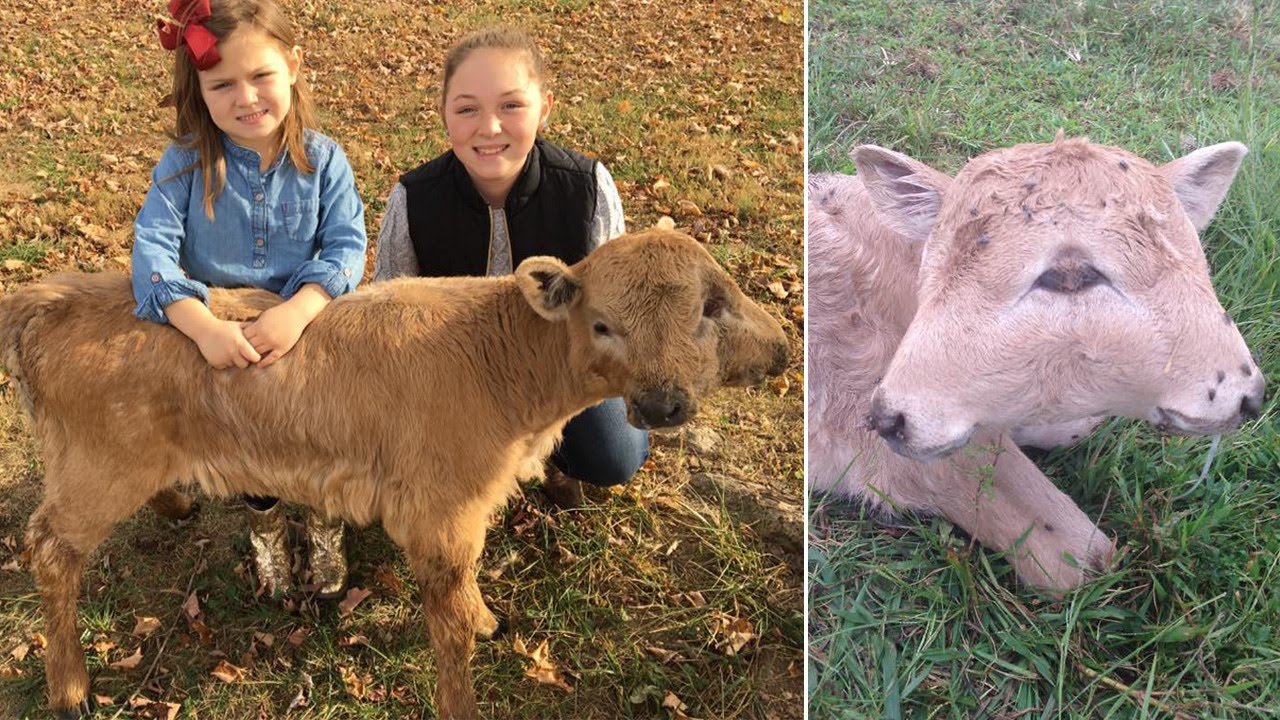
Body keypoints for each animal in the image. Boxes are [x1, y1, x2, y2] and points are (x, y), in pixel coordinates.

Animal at [0, 228, 789, 719]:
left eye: (714, 301)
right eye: (603, 325)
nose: (663, 402)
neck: (505, 371)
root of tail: (49, 301)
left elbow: (466, 597)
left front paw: (487, 616)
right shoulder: (441, 515)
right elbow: (449, 624)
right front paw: (465, 688)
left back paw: (174, 506)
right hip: (98, 471)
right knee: (50, 550)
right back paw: (70, 687)